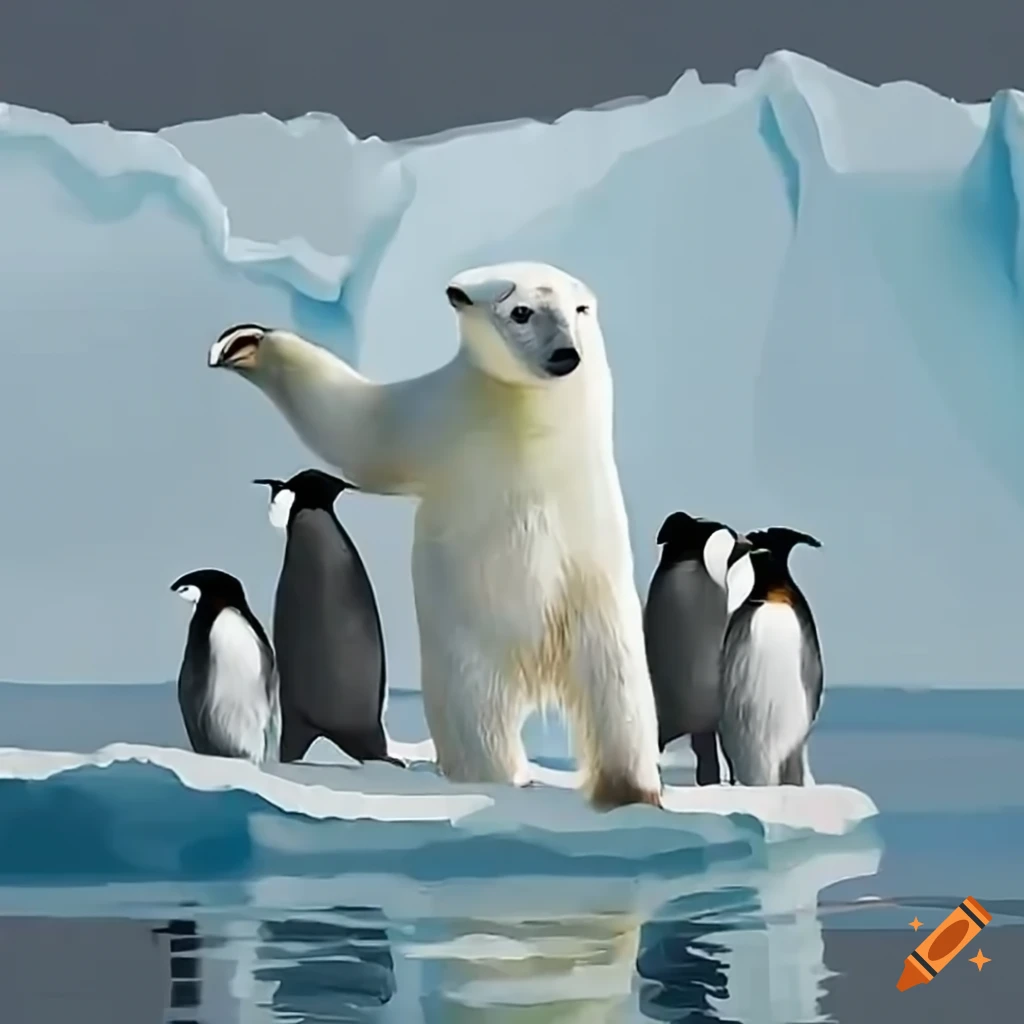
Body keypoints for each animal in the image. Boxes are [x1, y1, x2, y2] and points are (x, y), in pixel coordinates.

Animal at [208, 261, 662, 809]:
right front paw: (246, 344)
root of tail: (538, 667)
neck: (528, 415)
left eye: (578, 310)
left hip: (597, 618)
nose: (565, 356)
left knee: (619, 701)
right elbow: (359, 430)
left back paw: (630, 790)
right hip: (467, 650)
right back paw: (501, 778)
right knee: (480, 720)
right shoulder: (440, 419)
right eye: (521, 312)